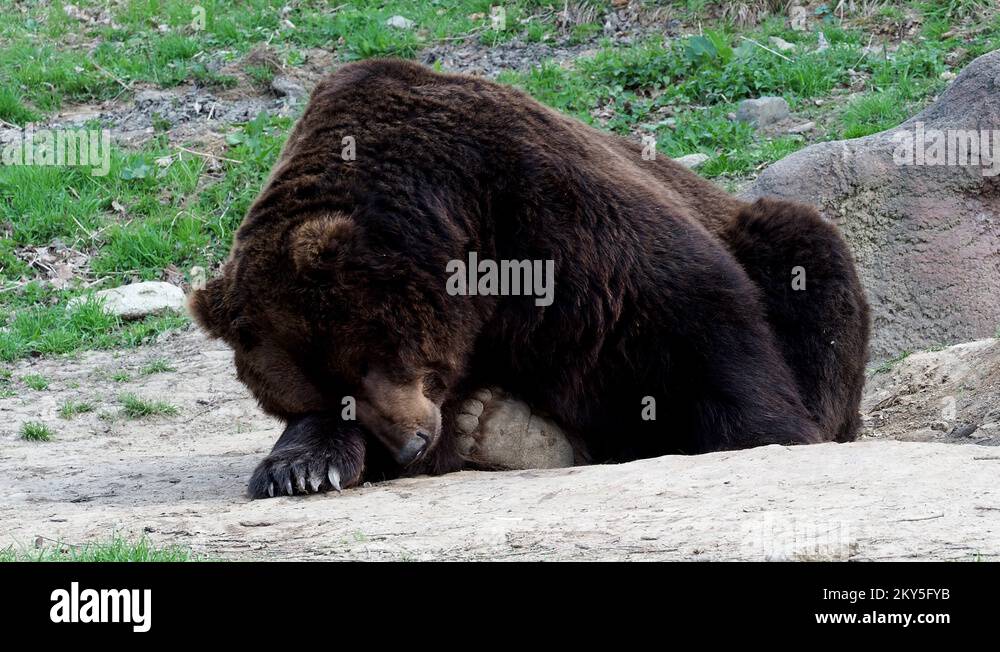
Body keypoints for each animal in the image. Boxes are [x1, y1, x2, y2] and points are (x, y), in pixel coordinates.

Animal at [188, 58, 870, 498]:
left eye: (366, 361)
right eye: (330, 395)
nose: (406, 445)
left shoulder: (538, 206)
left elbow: (692, 315)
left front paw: (768, 435)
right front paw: (300, 466)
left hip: (755, 228)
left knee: (807, 262)